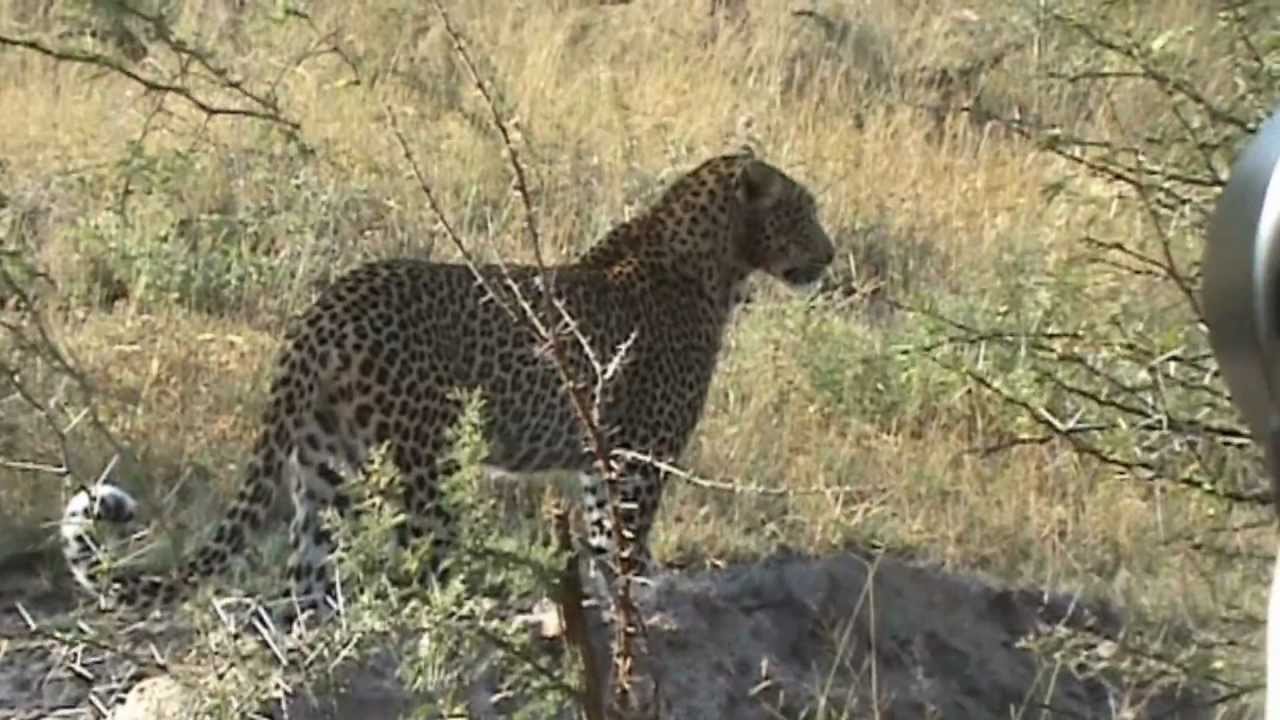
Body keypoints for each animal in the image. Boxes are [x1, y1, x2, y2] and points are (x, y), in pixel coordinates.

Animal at [61, 149, 835, 619]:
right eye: (803, 212)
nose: (830, 255)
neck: (713, 264)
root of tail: (326, 303)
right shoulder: (638, 456)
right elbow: (625, 544)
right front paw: (638, 608)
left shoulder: (599, 458)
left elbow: (599, 539)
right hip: (423, 466)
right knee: (421, 567)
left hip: (324, 464)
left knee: (305, 578)